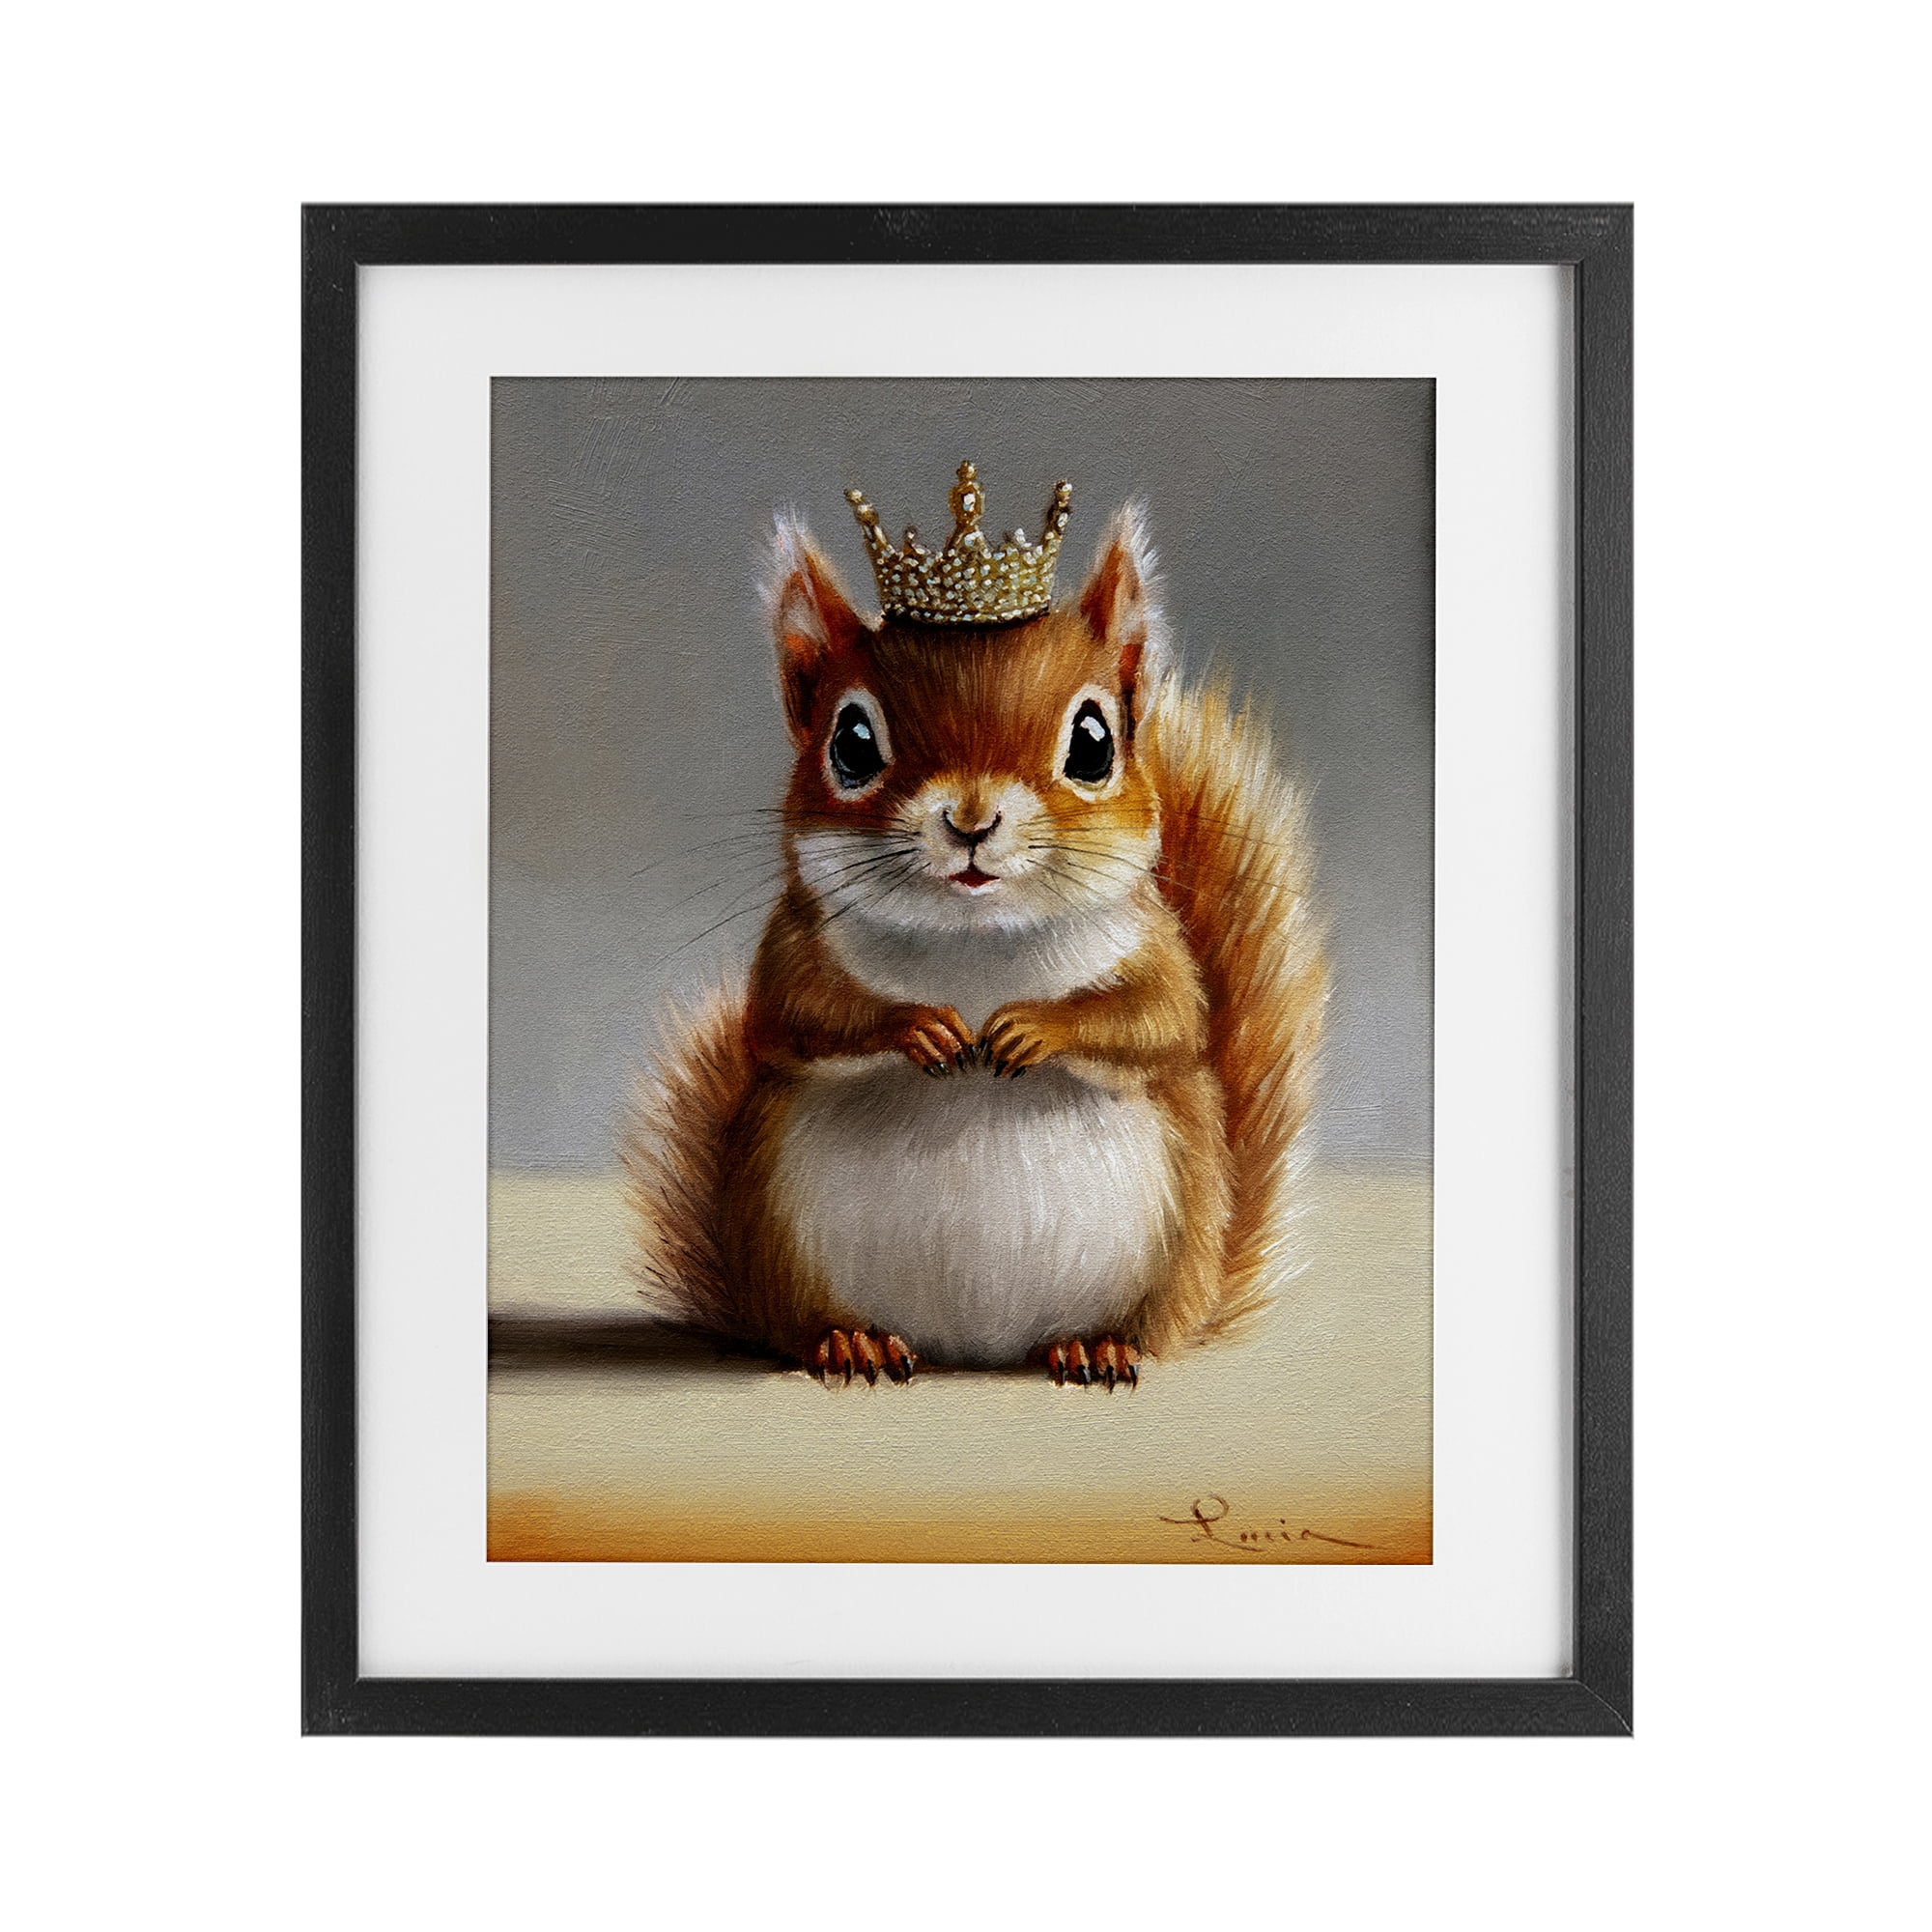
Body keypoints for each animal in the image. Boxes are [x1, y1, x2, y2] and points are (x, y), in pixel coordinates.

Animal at [623, 464, 1326, 1388]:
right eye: (851, 742)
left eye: (1095, 742)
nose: (971, 820)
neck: (976, 941)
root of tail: (976, 1349)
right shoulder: (793, 946)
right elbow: (791, 1016)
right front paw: (917, 1026)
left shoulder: (1157, 948)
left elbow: (1161, 1019)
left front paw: (1035, 1028)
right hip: (779, 1238)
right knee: (806, 1325)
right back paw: (850, 1340)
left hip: (1174, 1246)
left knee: (1142, 1327)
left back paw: (1099, 1345)